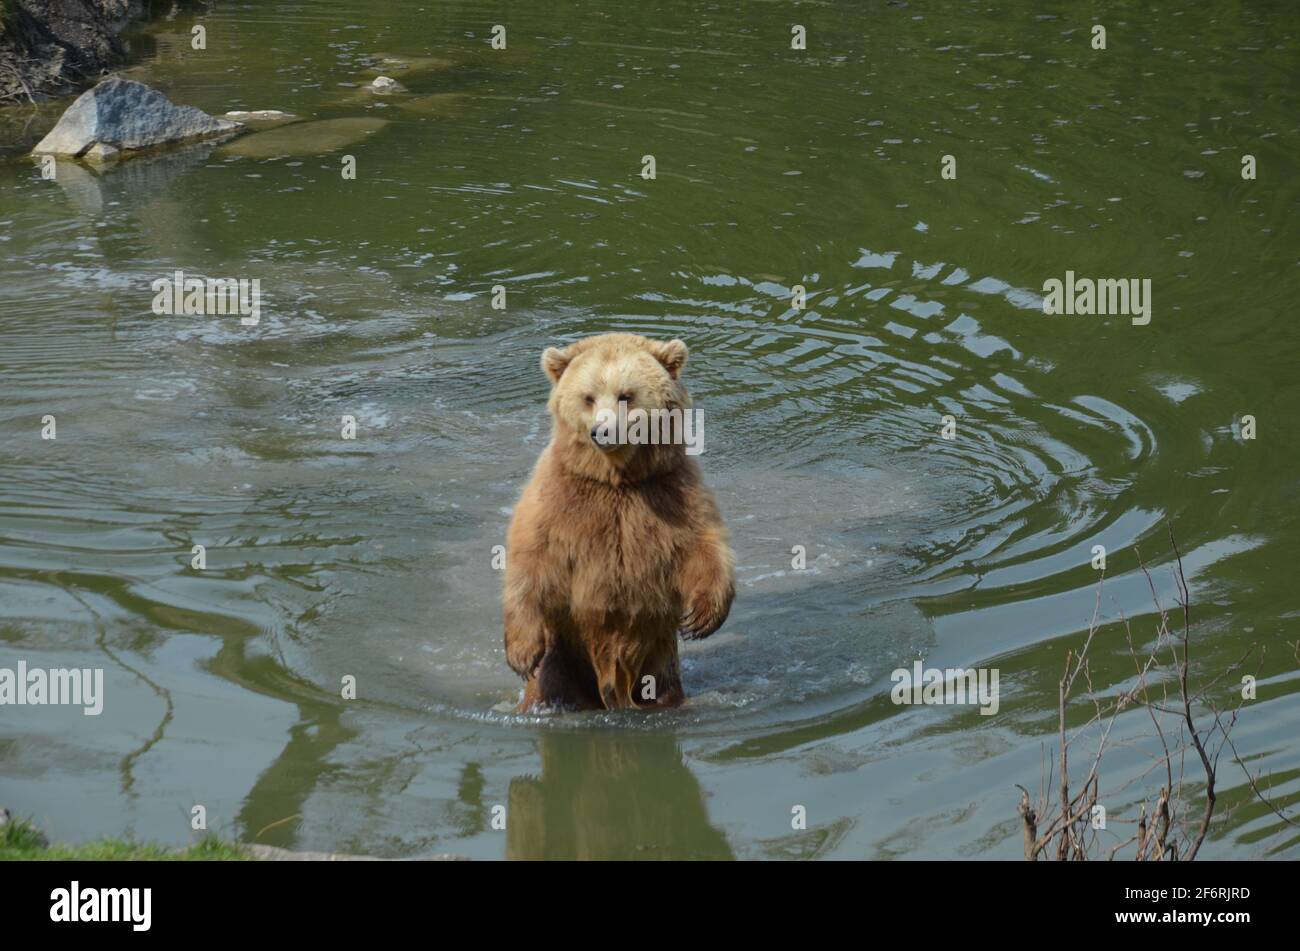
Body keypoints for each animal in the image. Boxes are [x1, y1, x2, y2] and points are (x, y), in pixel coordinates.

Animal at [503, 332, 735, 712]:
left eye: (626, 395)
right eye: (588, 397)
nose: (603, 431)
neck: (617, 480)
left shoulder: (672, 491)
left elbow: (703, 545)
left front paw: (700, 618)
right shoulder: (557, 498)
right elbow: (531, 556)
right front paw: (521, 654)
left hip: (660, 667)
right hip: (562, 662)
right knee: (551, 688)